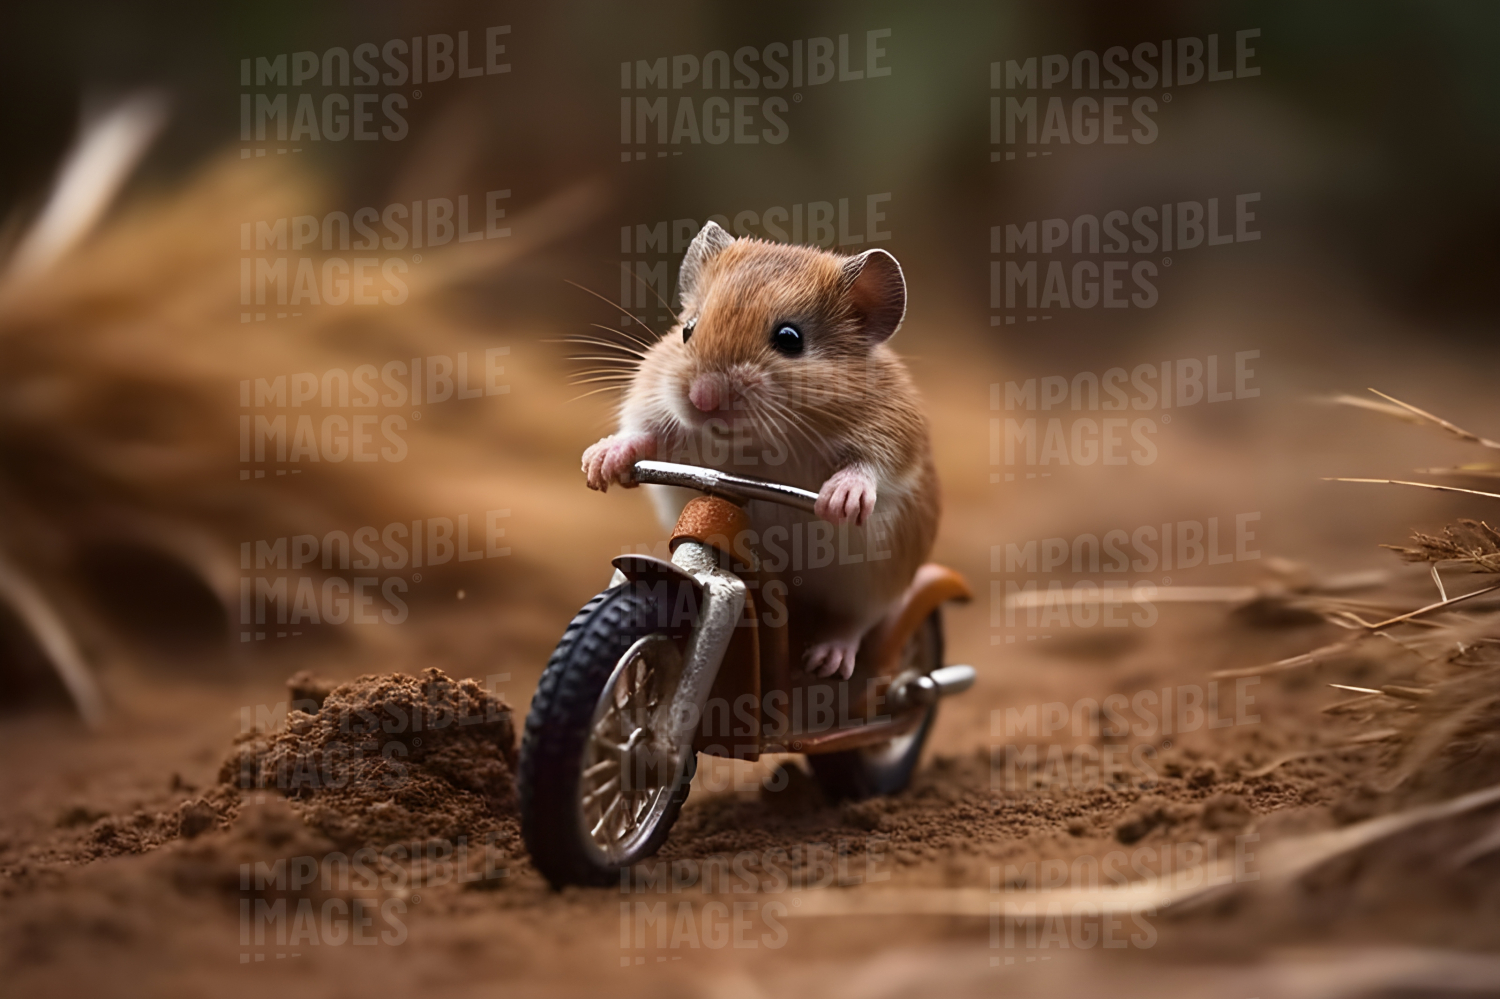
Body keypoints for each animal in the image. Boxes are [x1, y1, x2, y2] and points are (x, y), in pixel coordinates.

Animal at [581, 221, 938, 680]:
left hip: (874, 577)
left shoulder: (894, 437)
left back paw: (827, 661)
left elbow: (867, 467)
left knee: (857, 621)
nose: (702, 400)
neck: (755, 445)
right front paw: (600, 463)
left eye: (790, 339)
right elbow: (642, 434)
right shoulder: (655, 407)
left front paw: (840, 502)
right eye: (687, 330)